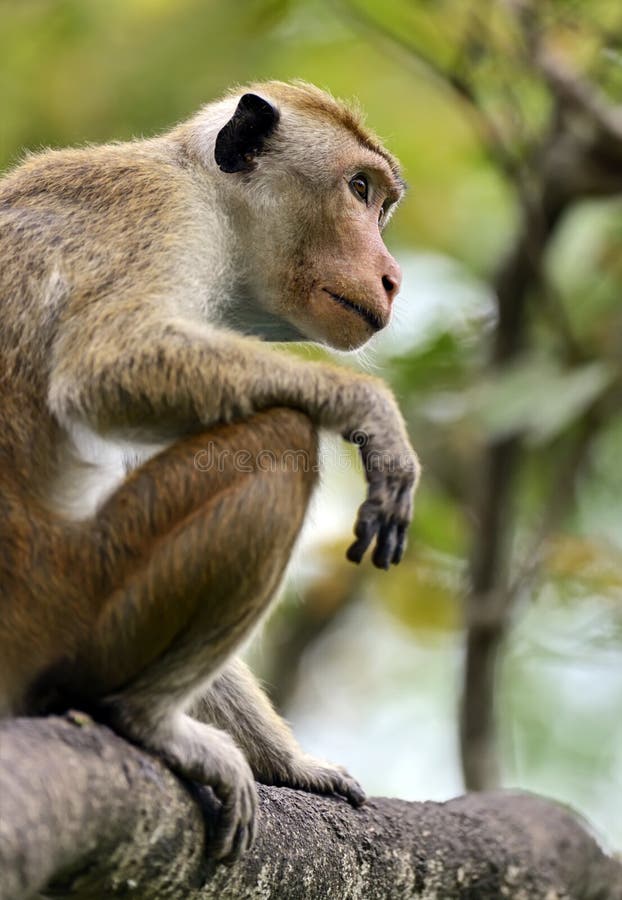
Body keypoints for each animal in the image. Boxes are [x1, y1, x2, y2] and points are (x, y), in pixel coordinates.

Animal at [0, 81, 418, 861]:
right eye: (358, 189)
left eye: (379, 202)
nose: (393, 278)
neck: (204, 191)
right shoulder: (157, 214)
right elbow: (111, 363)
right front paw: (372, 412)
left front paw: (292, 764)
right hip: (69, 596)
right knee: (281, 438)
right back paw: (146, 718)